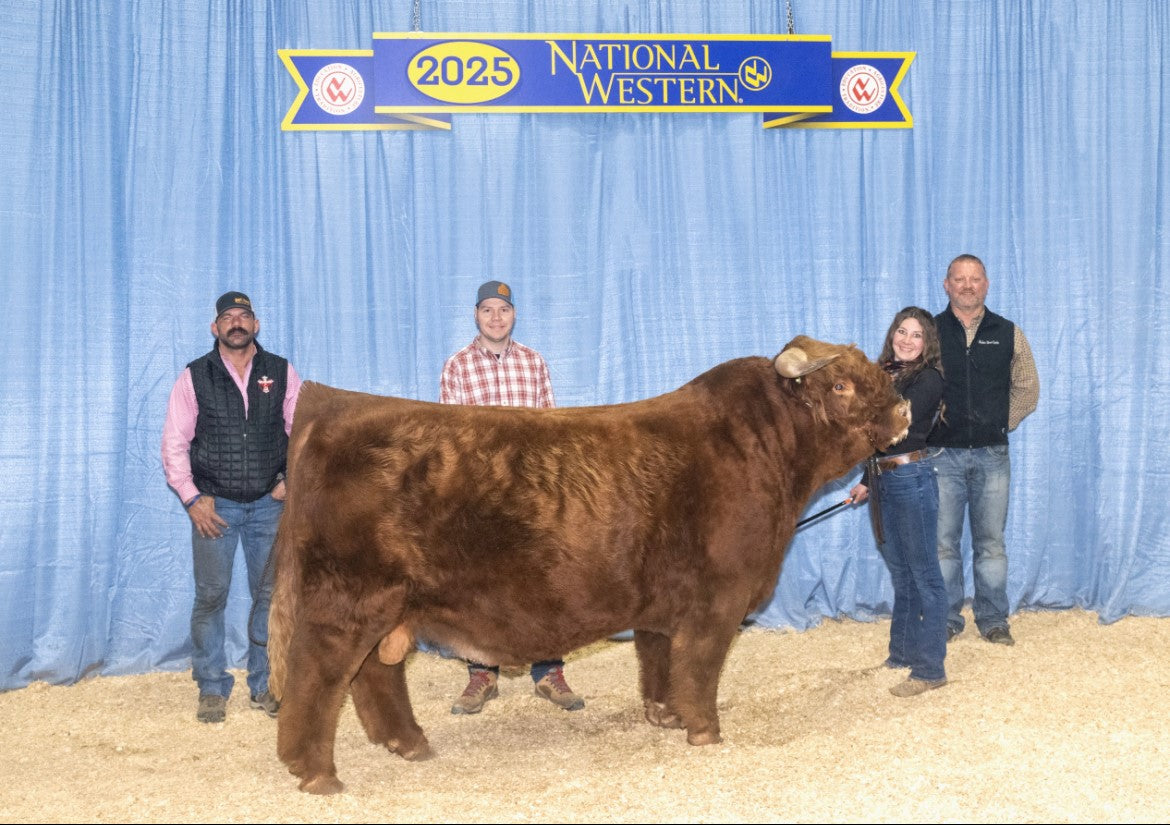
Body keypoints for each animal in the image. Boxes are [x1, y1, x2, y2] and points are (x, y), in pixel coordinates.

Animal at [267, 336, 910, 794]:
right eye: (843, 385)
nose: (905, 407)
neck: (766, 451)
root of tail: (334, 405)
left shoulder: (663, 606)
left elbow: (660, 663)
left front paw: (664, 717)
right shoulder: (718, 599)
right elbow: (700, 668)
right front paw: (706, 733)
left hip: (388, 604)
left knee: (374, 673)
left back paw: (408, 744)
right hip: (349, 599)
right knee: (318, 674)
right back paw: (315, 772)